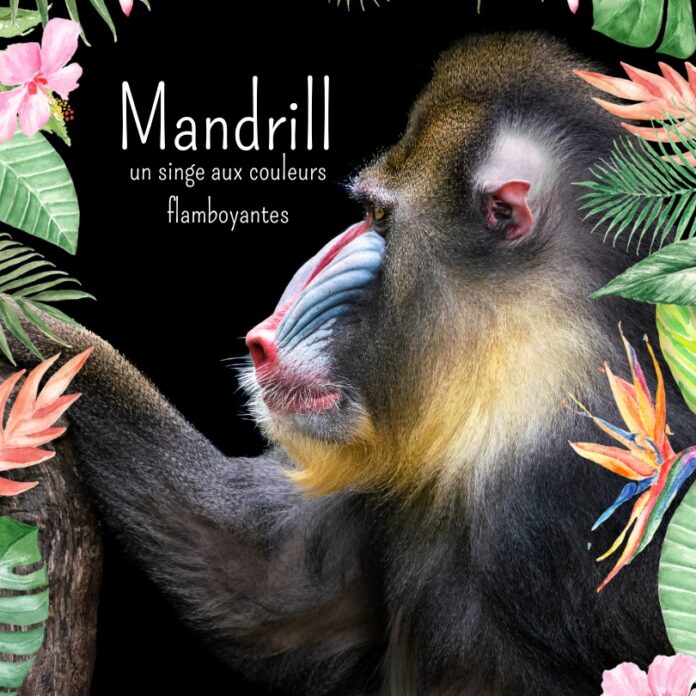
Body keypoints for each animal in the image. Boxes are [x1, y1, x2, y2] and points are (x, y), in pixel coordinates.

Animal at [8, 32, 694, 696]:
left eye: (379, 216)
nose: (262, 338)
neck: (526, 357)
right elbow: (264, 581)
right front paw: (26, 326)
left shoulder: (571, 482)